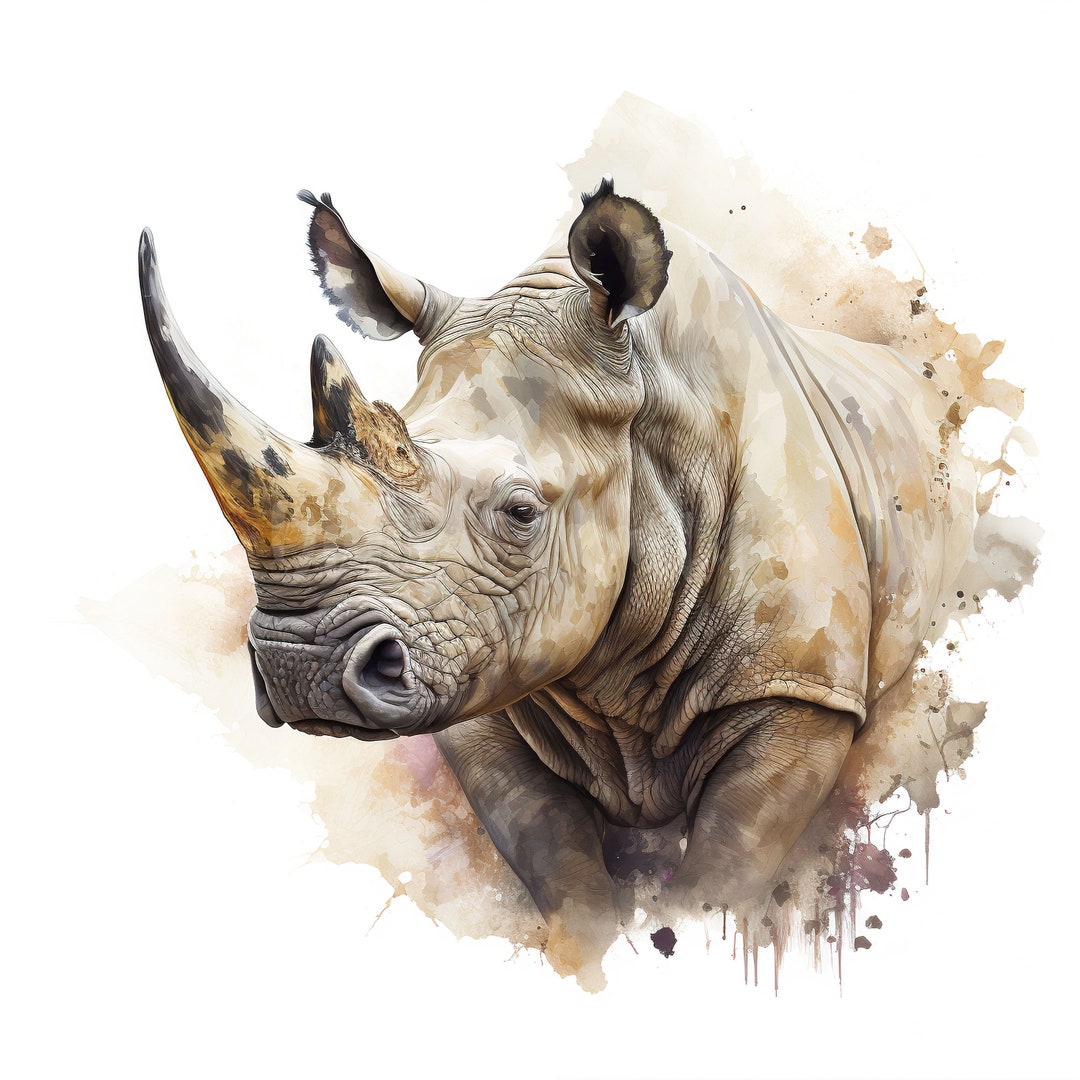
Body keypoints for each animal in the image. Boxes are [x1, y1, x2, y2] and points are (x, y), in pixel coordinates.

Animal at [139, 179, 972, 971]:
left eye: (520, 513)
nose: (297, 665)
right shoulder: (485, 688)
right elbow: (566, 878)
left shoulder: (799, 691)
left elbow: (724, 875)